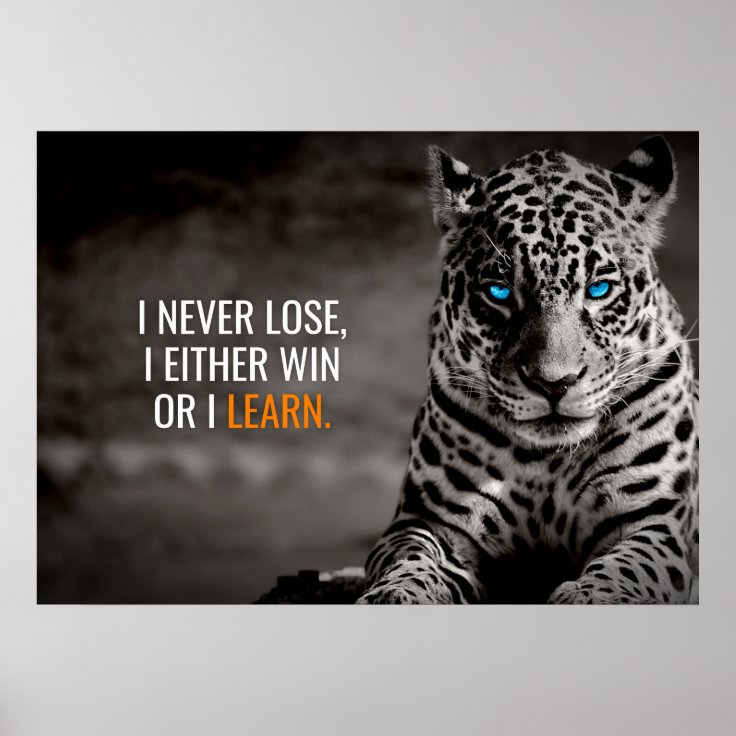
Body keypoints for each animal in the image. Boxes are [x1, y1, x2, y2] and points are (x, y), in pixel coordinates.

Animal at [358, 135, 698, 604]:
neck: (547, 461)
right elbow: (410, 560)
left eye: (599, 289)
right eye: (499, 292)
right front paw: (396, 595)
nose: (554, 384)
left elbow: (626, 570)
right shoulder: (428, 520)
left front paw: (586, 596)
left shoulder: (655, 520)